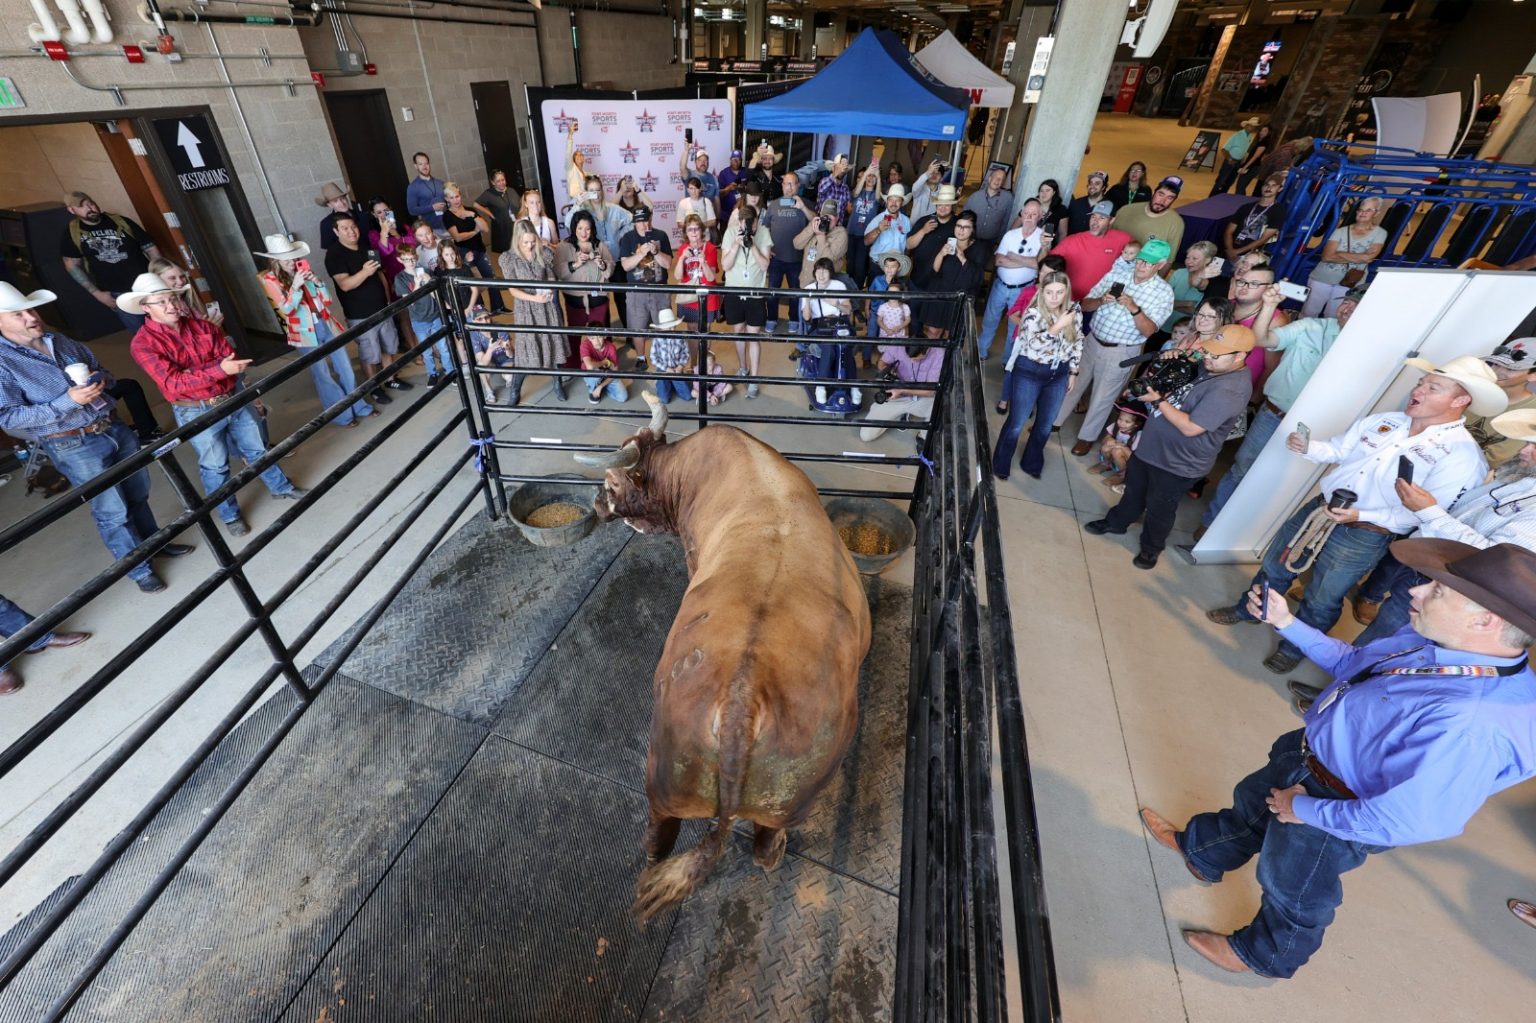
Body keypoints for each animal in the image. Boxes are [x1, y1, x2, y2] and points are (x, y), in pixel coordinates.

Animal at [575, 392, 872, 923]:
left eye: (611, 483)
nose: (596, 502)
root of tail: (744, 700)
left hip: (662, 781)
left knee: (659, 838)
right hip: (778, 794)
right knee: (762, 842)